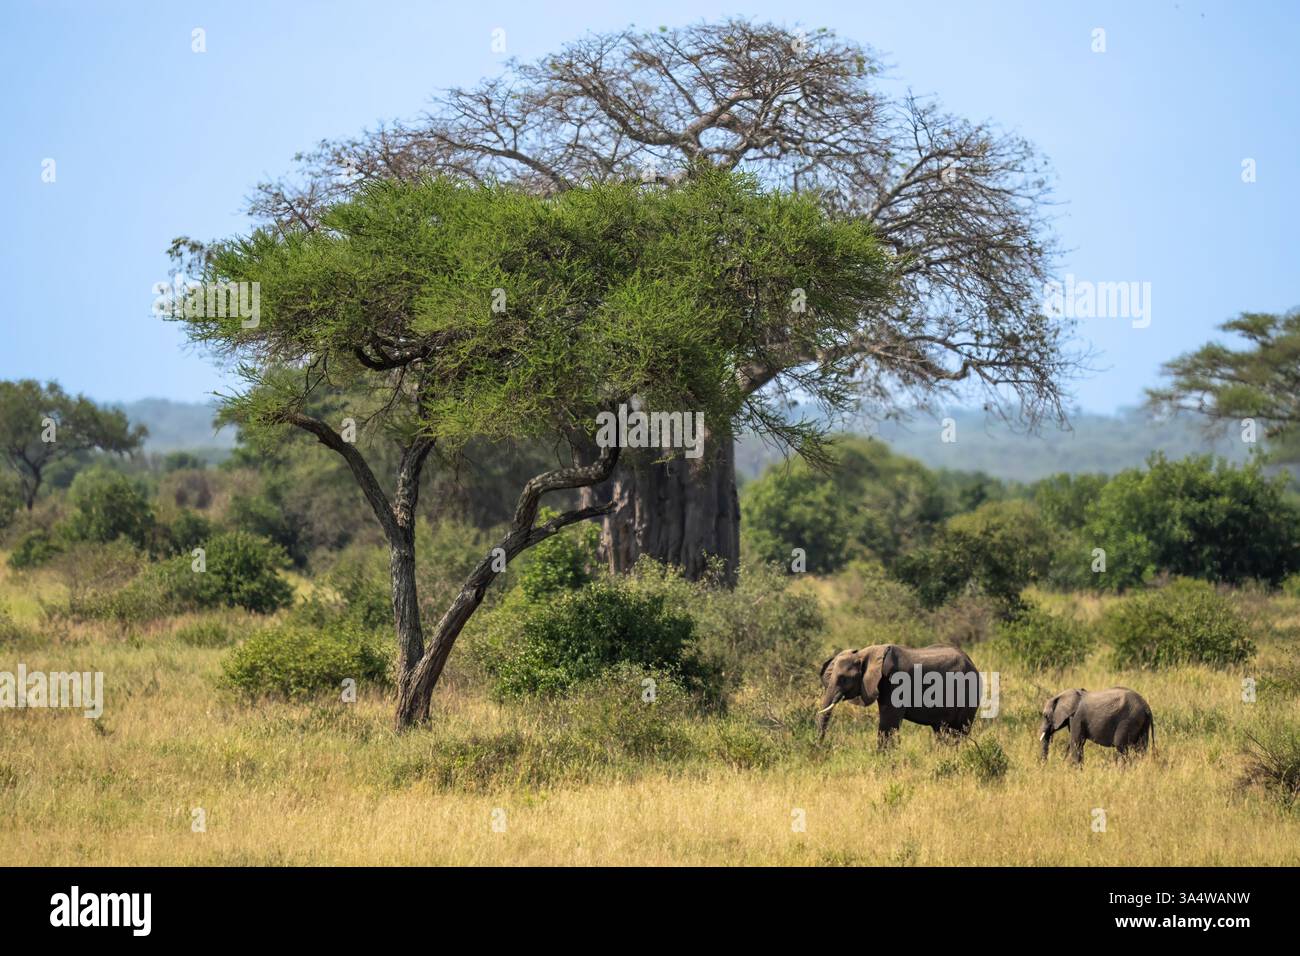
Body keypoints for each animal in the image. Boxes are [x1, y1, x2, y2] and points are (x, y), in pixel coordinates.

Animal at [817, 644, 981, 746]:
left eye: (843, 678)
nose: (820, 748)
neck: (865, 653)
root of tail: (972, 662)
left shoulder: (894, 682)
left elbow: (888, 722)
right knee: (941, 730)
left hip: (970, 694)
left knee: (959, 730)